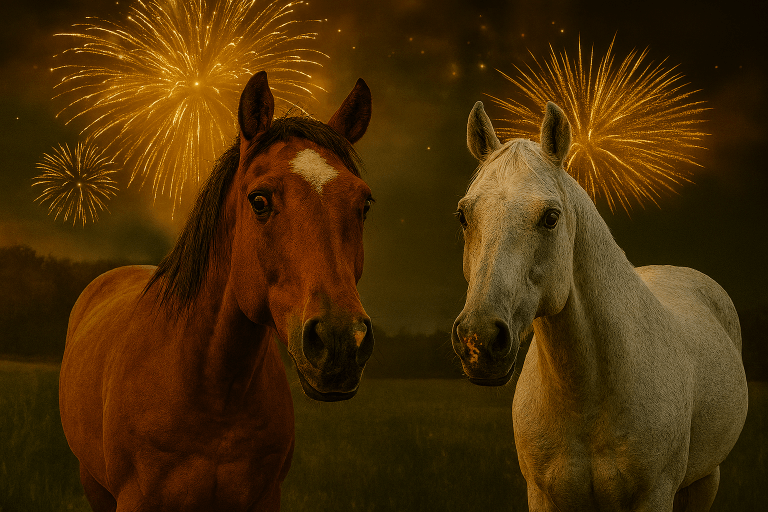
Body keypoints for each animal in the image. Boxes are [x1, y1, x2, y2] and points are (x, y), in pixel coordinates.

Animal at [451, 100, 748, 511]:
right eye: (464, 215)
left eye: (551, 217)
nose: (478, 340)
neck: (586, 398)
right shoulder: (542, 495)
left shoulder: (655, 495)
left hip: (707, 479)